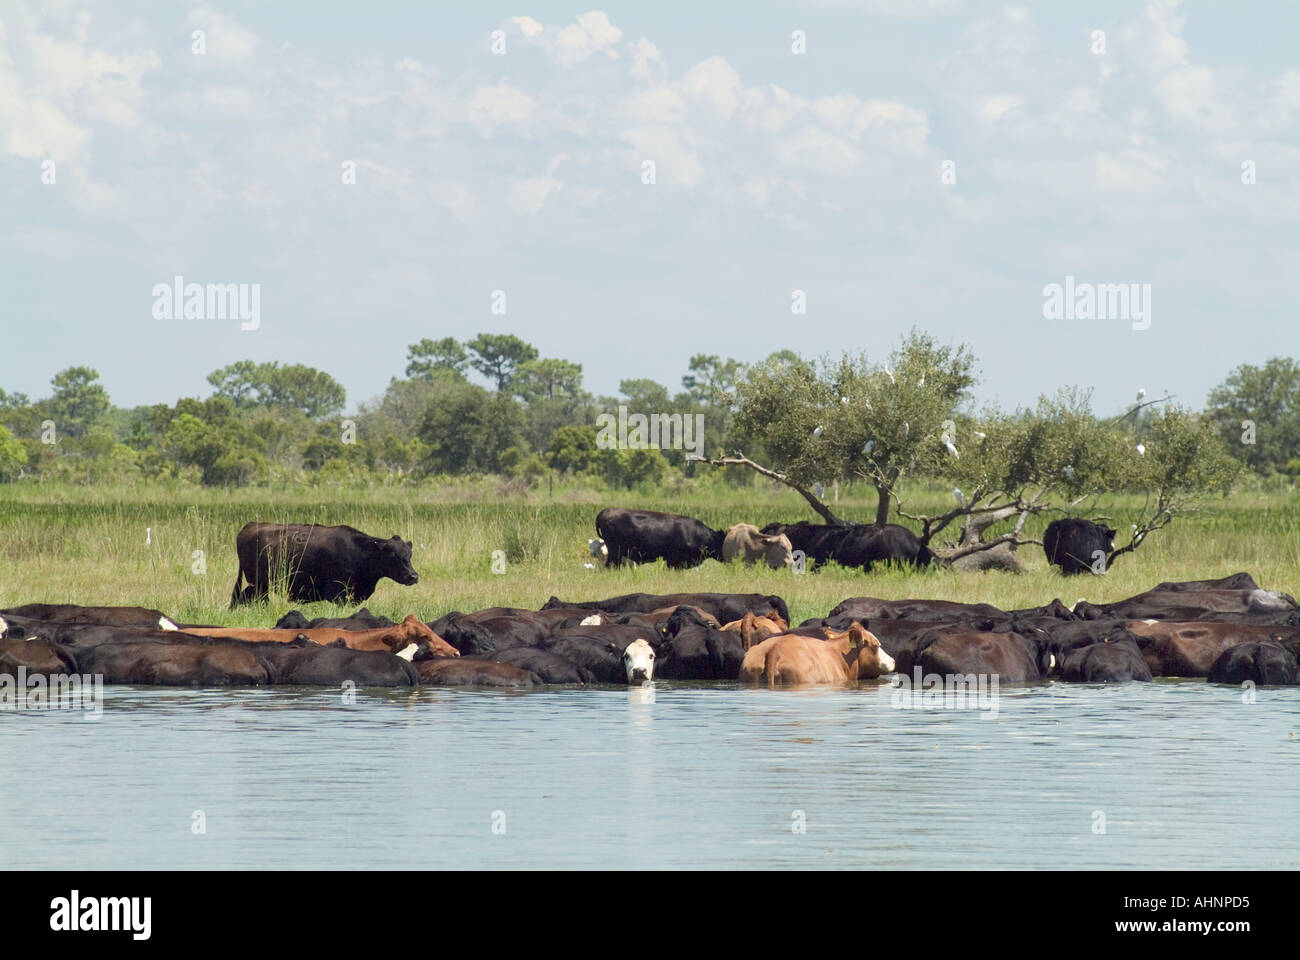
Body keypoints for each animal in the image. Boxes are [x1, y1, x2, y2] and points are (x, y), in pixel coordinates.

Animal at [229, 522, 418, 608]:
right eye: (393, 556)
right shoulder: (338, 594)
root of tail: (251, 526)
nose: (413, 576)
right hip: (259, 584)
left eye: (409, 555)